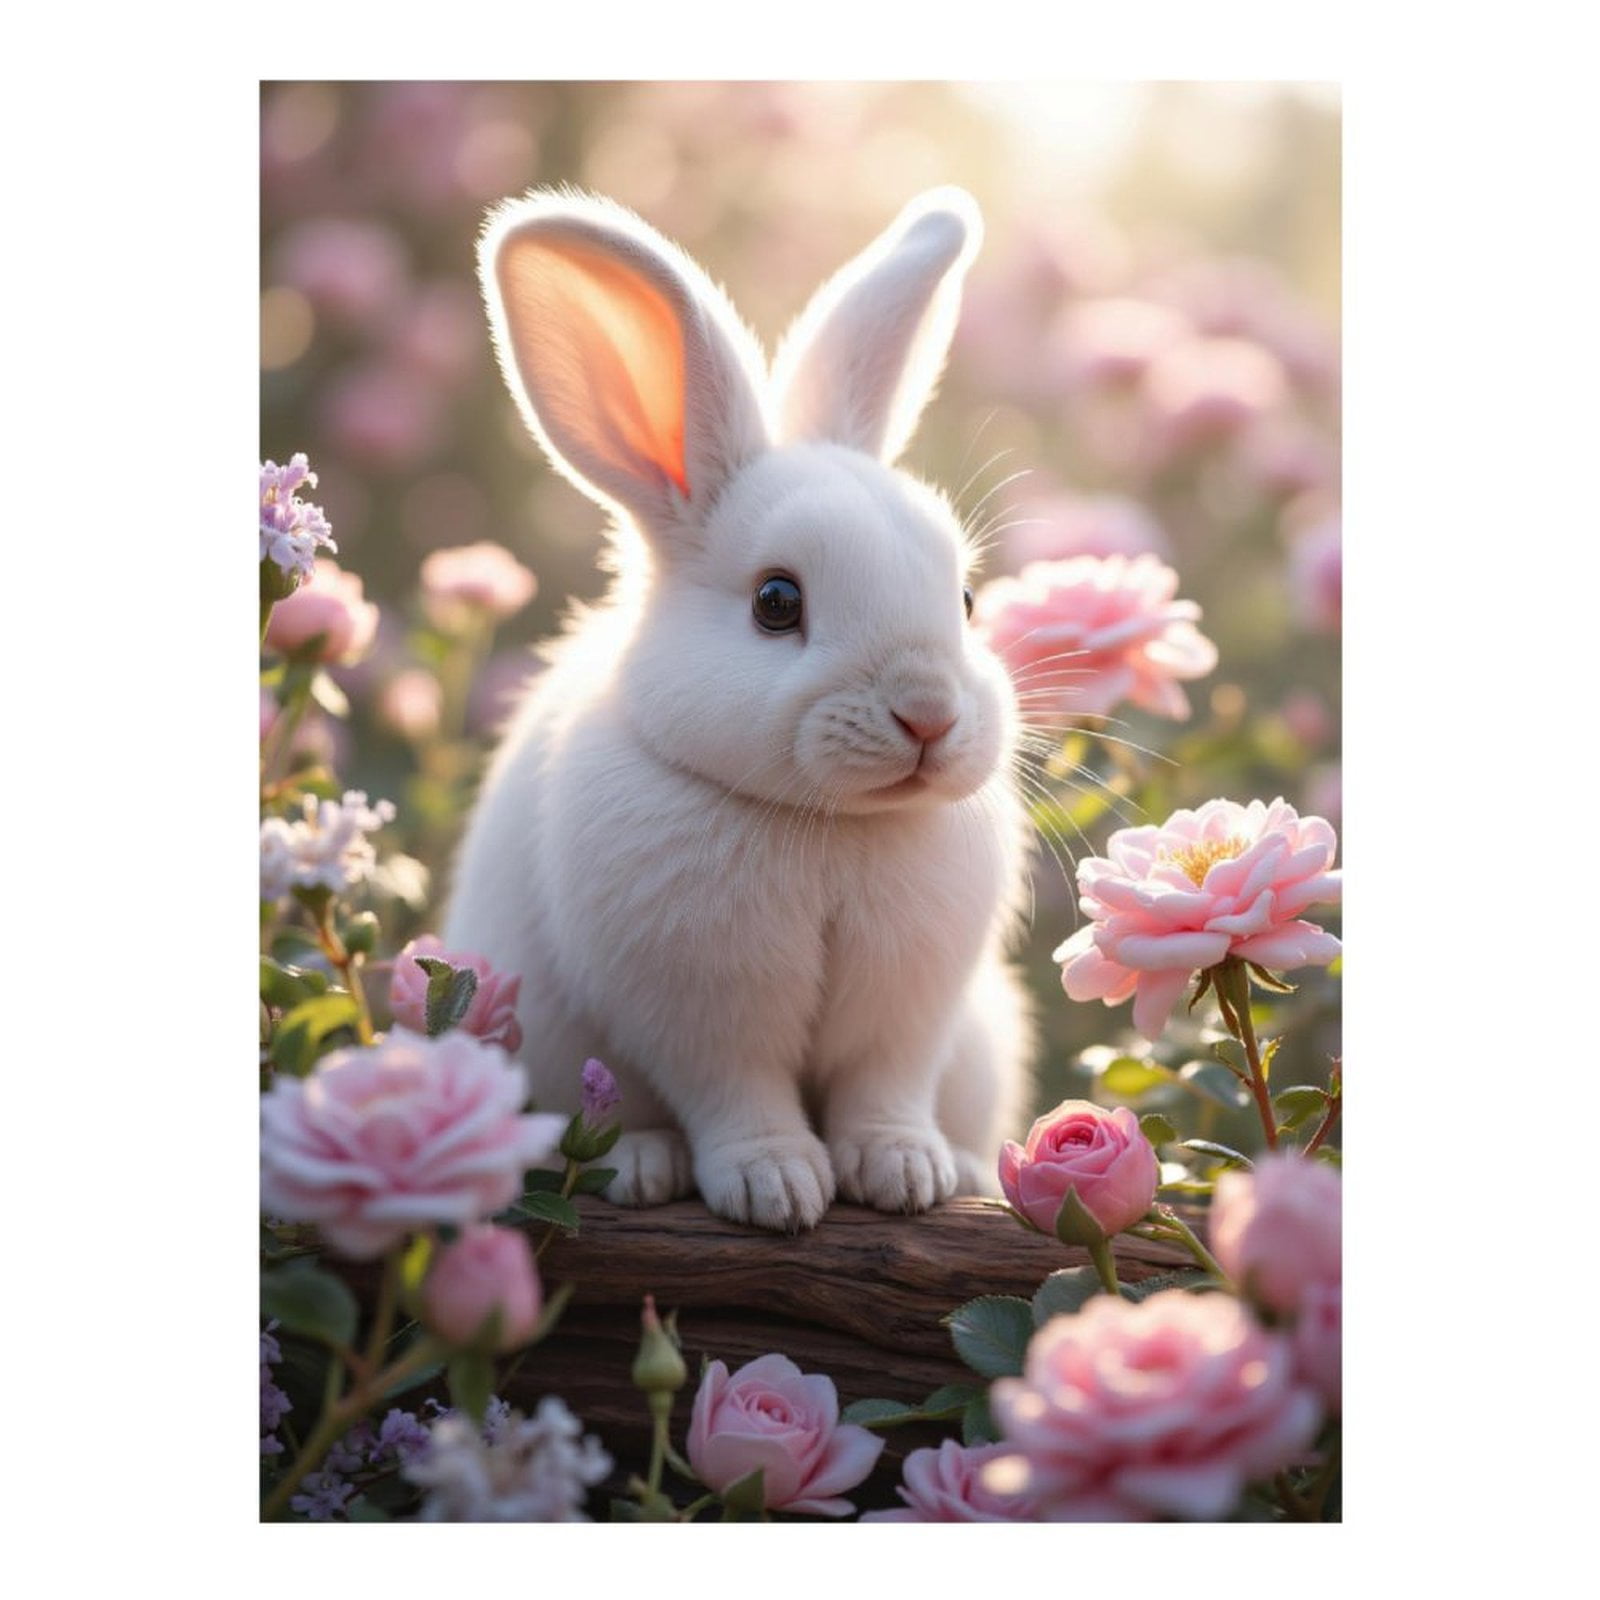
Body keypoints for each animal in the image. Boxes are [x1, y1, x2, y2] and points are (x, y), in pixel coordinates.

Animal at [443, 185, 1035, 1232]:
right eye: (776, 602)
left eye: (965, 600)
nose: (928, 714)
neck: (833, 828)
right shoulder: (703, 1013)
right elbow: (739, 1097)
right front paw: (778, 1191)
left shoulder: (908, 1015)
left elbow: (882, 1094)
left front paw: (907, 1175)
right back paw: (638, 1166)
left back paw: (965, 1167)